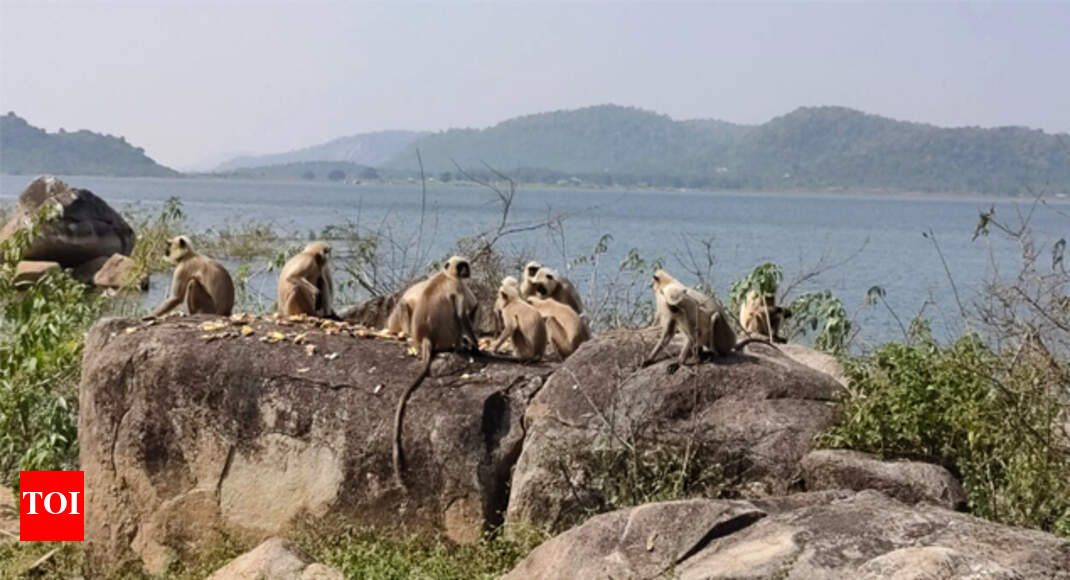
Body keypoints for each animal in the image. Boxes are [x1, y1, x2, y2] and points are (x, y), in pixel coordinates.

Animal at [393, 255, 479, 486]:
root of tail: (425, 338)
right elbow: (462, 315)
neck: (446, 274)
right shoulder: (457, 286)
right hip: (448, 337)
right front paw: (476, 345)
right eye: (462, 266)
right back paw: (461, 346)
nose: (466, 270)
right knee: (458, 319)